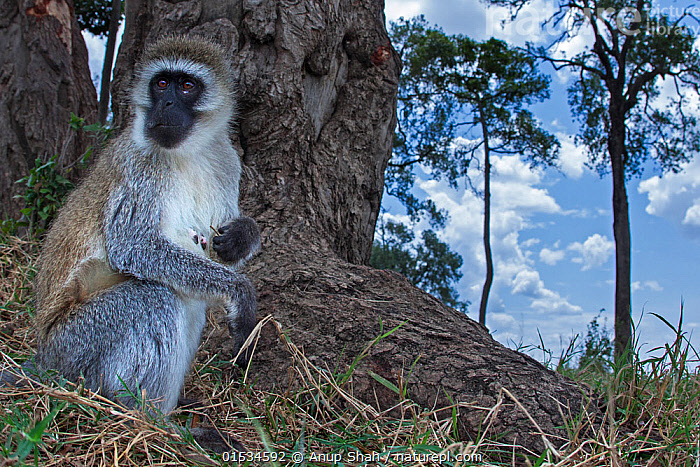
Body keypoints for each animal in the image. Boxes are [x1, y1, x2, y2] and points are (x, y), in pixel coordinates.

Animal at [17, 35, 261, 414]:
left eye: (186, 85)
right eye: (161, 84)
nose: (167, 103)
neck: (187, 152)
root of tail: (44, 358)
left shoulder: (226, 161)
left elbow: (218, 251)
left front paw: (242, 236)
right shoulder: (140, 167)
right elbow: (135, 249)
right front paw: (242, 294)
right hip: (73, 346)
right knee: (154, 296)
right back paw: (145, 416)